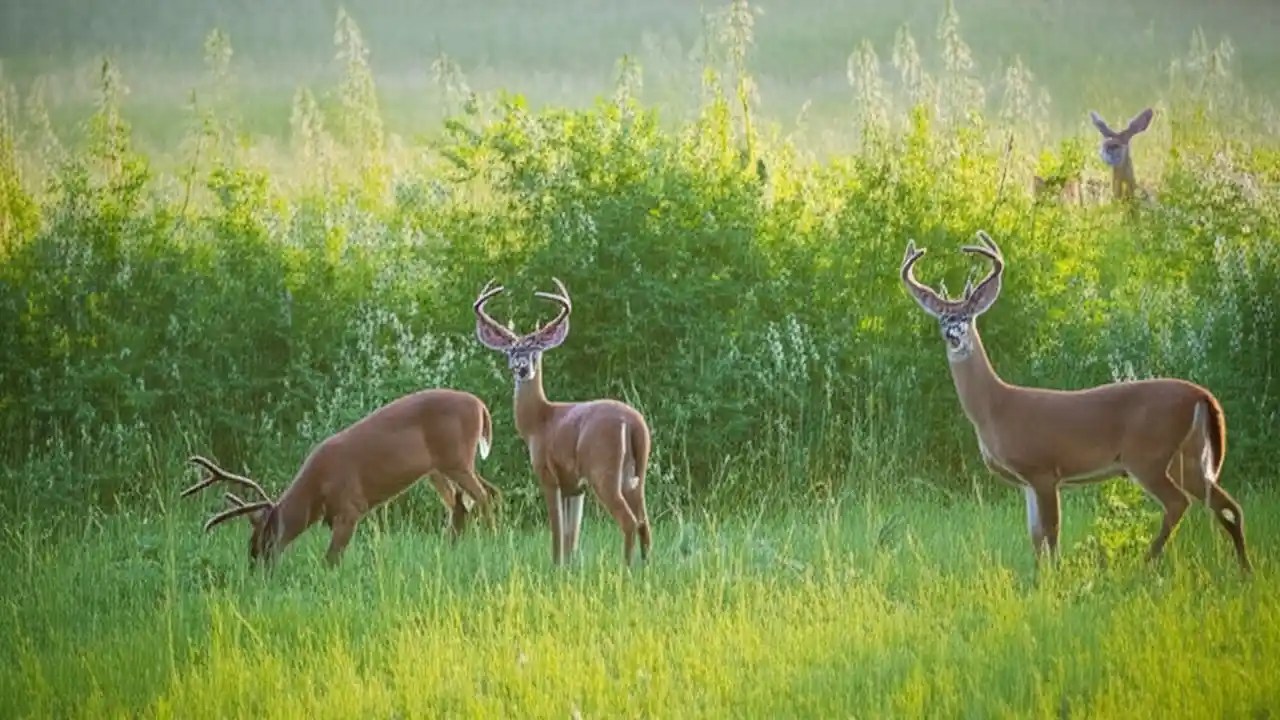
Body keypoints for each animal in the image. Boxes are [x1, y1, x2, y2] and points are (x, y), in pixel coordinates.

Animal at [181, 388, 501, 567]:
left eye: (263, 540)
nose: (255, 568)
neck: (316, 490)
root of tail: (480, 406)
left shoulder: (351, 508)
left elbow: (331, 560)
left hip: (456, 459)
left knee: (484, 497)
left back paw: (492, 540)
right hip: (439, 470)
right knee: (467, 502)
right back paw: (452, 547)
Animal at [473, 277, 652, 566]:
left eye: (536, 352)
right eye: (511, 351)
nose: (522, 368)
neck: (539, 422)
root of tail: (633, 423)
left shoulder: (548, 474)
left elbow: (557, 533)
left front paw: (555, 566)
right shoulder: (575, 487)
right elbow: (572, 537)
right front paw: (570, 567)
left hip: (603, 468)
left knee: (629, 521)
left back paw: (625, 567)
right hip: (636, 475)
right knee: (645, 522)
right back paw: (645, 565)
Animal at [899, 230, 1251, 572]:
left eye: (968, 316)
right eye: (942, 318)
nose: (953, 335)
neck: (994, 408)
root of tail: (1202, 395)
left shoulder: (1043, 469)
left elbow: (1050, 534)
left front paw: (1054, 577)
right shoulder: (1026, 481)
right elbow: (1035, 537)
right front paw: (1039, 577)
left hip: (1148, 454)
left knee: (1180, 503)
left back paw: (1147, 563)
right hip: (1188, 456)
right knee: (1228, 506)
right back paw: (1244, 568)